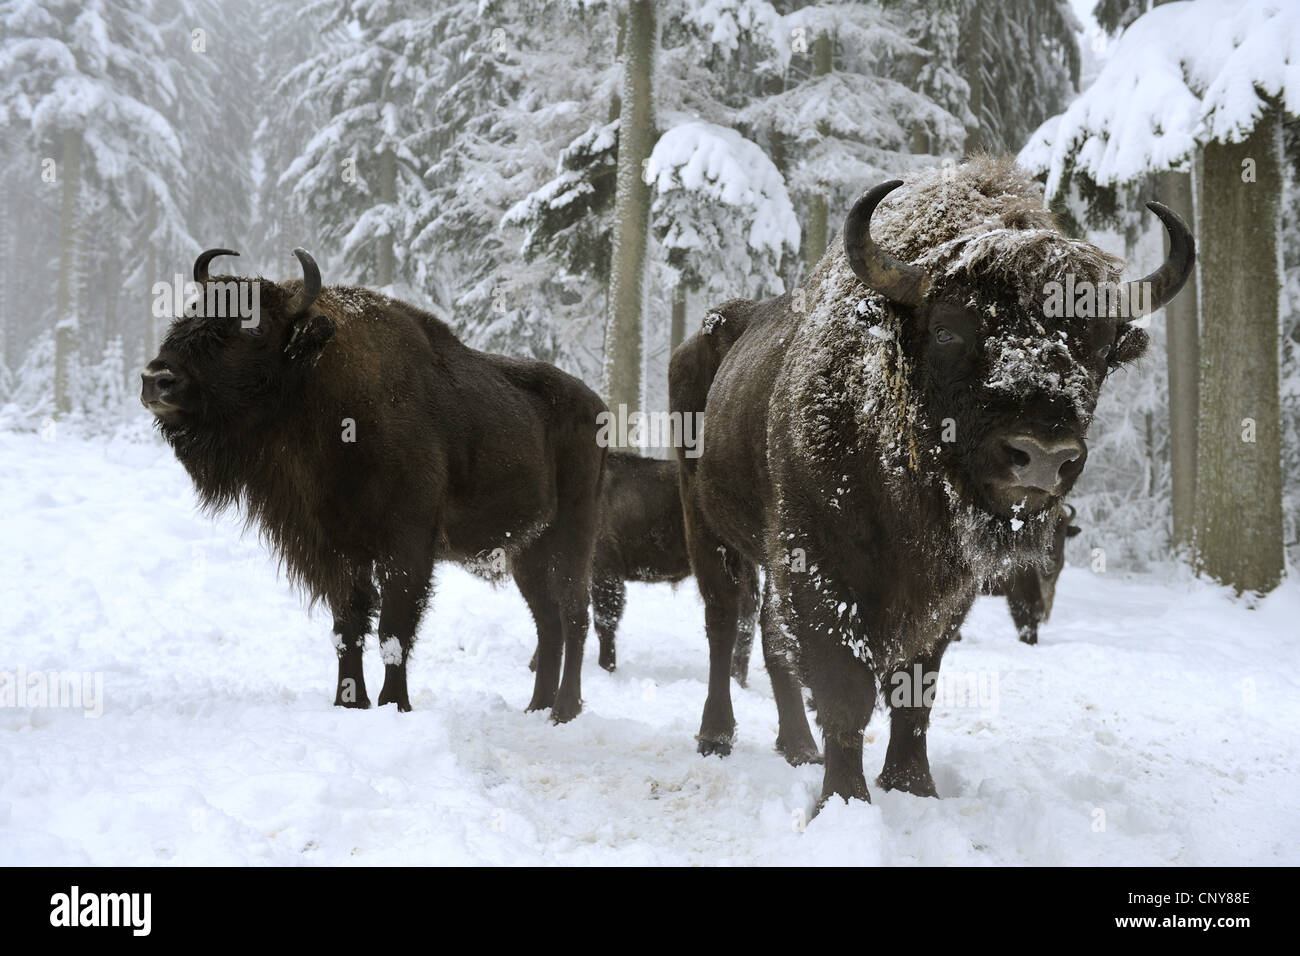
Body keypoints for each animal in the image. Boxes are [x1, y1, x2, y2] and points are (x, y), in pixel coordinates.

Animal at [142, 248, 606, 722]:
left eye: (252, 327)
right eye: (193, 309)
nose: (158, 379)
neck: (326, 393)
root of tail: (596, 404)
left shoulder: (406, 549)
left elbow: (393, 632)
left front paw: (393, 704)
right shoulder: (339, 552)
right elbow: (348, 628)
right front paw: (349, 702)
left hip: (571, 537)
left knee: (574, 617)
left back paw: (564, 709)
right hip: (528, 552)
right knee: (548, 624)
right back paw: (536, 707)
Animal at [669, 157, 1194, 804]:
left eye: (1096, 347)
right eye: (948, 330)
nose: (1042, 455)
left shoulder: (947, 591)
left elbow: (916, 684)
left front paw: (912, 785)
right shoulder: (821, 565)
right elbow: (846, 687)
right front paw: (846, 799)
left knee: (769, 636)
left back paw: (797, 747)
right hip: (707, 528)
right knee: (724, 624)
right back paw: (716, 737)